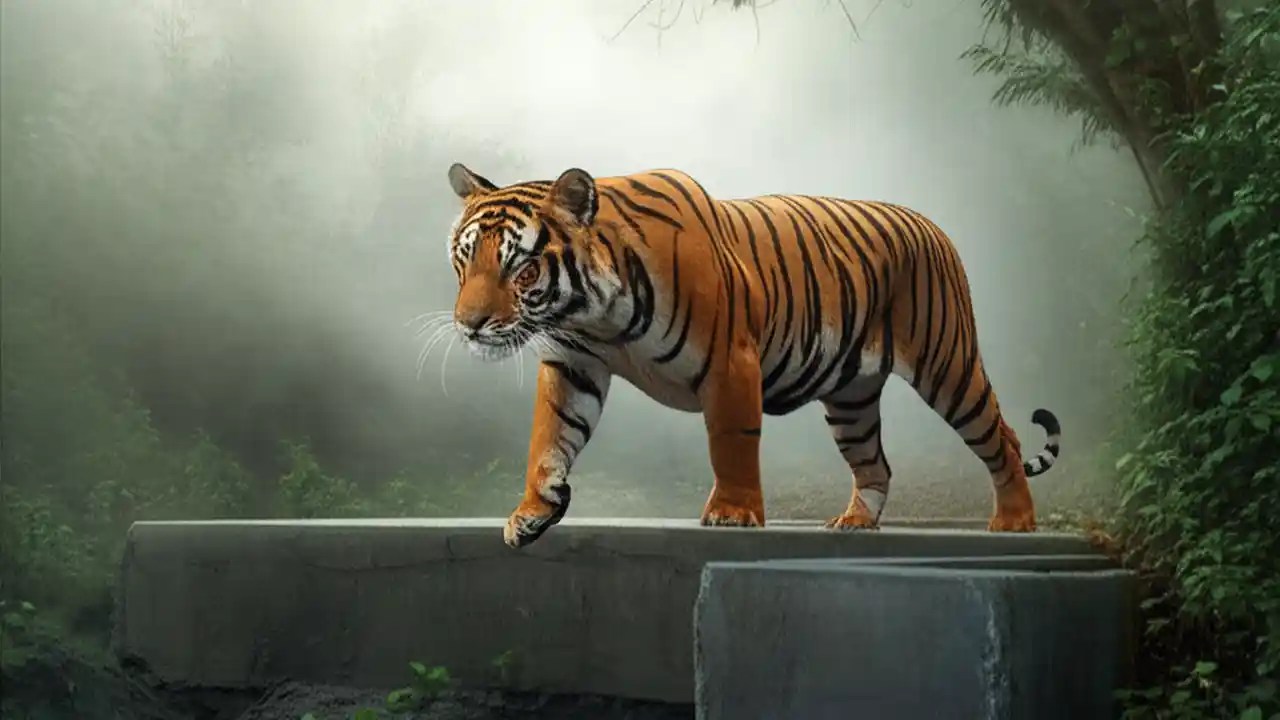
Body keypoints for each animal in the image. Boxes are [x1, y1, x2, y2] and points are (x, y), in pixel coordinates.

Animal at [442, 163, 1062, 548]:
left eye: (521, 268)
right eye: (464, 261)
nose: (469, 326)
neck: (593, 311)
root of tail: (934, 225)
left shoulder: (730, 361)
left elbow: (731, 442)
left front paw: (733, 514)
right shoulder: (574, 364)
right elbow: (549, 437)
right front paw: (532, 513)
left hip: (948, 364)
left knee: (1001, 438)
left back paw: (1014, 522)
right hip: (851, 400)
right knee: (875, 463)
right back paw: (855, 522)